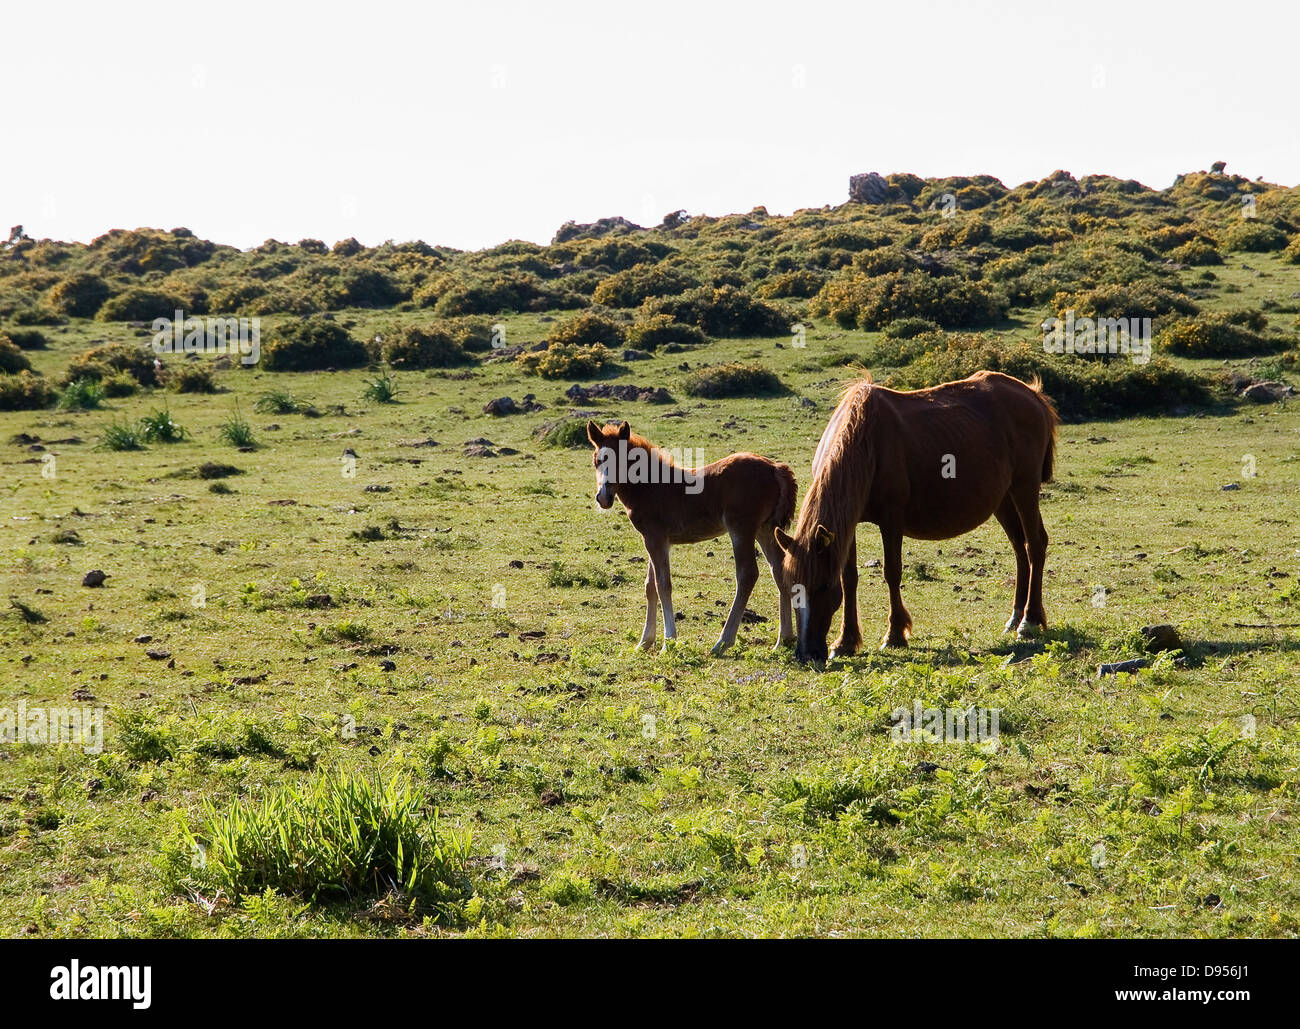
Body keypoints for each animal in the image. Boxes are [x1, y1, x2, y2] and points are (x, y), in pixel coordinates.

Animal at [586, 420, 798, 655]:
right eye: (596, 461)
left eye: (622, 461)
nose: (603, 498)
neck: (650, 486)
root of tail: (775, 468)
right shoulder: (655, 540)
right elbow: (650, 586)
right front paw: (644, 642)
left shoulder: (655, 538)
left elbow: (663, 585)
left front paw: (668, 641)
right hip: (765, 529)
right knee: (779, 567)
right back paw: (784, 639)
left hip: (742, 528)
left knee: (747, 574)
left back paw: (723, 642)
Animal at [774, 371, 1059, 664]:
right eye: (791, 587)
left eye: (821, 587)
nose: (806, 653)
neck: (866, 441)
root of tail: (1033, 394)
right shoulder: (845, 527)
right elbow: (849, 578)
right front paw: (845, 642)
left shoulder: (891, 521)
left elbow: (892, 572)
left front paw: (895, 635)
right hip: (1003, 500)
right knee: (1019, 548)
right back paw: (1015, 618)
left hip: (1025, 488)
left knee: (1034, 545)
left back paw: (1029, 621)